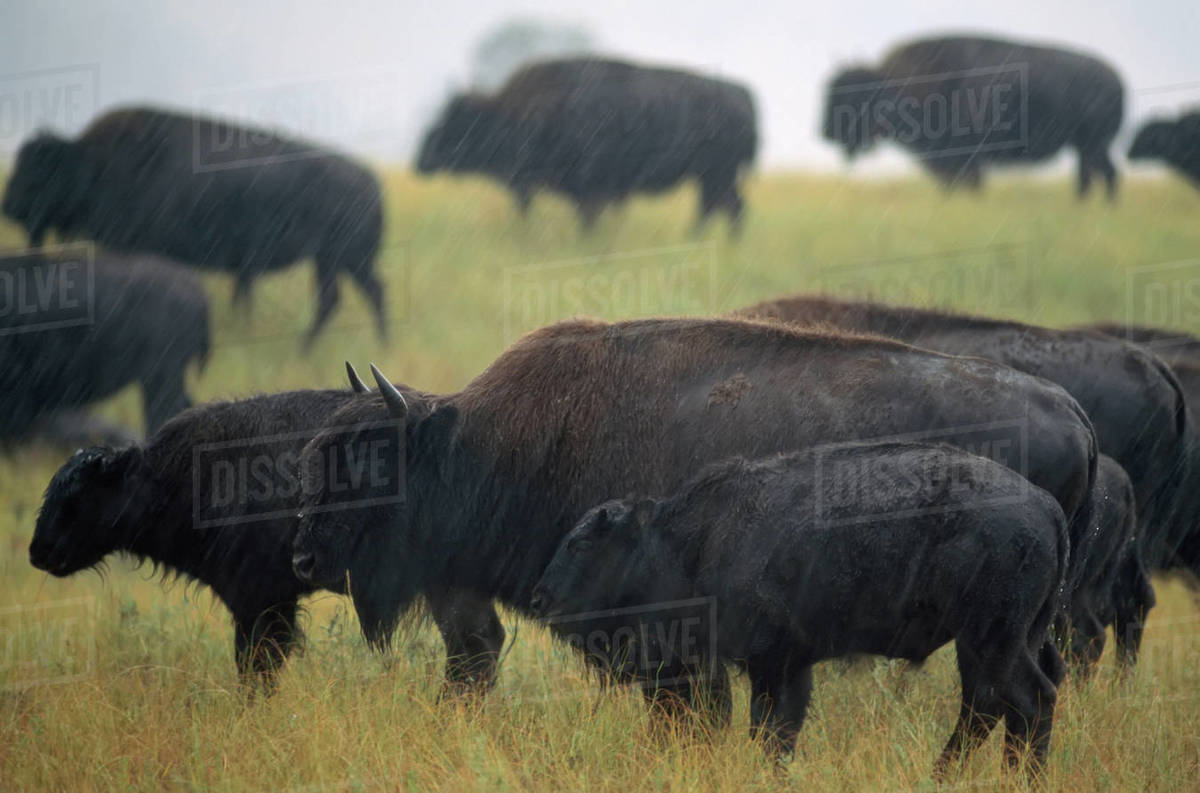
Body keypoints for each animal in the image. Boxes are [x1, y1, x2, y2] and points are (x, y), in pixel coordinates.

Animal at [2, 107, 386, 349]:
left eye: (38, 170)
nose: (9, 205)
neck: (92, 163)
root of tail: (371, 182)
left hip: (345, 258)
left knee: (358, 295)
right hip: (332, 261)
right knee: (341, 298)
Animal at [291, 318, 1097, 715]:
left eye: (366, 457)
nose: (301, 556)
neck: (491, 444)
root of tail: (1073, 413)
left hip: (991, 627)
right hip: (1021, 625)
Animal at [416, 57, 758, 232]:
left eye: (455, 123)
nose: (421, 161)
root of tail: (741, 92)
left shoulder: (588, 187)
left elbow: (586, 216)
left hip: (717, 174)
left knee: (722, 208)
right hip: (712, 177)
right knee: (725, 207)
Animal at [532, 444, 1066, 777]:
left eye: (582, 544)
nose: (540, 599)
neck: (692, 540)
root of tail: (1046, 505)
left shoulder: (770, 664)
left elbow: (768, 731)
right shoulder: (790, 668)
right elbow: (779, 734)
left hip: (991, 639)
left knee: (1024, 701)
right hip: (997, 641)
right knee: (993, 706)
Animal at [823, 35, 1123, 197]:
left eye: (850, 95)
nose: (825, 131)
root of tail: (1117, 80)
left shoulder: (964, 157)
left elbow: (970, 182)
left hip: (1092, 145)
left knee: (1101, 175)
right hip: (1087, 148)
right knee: (1093, 176)